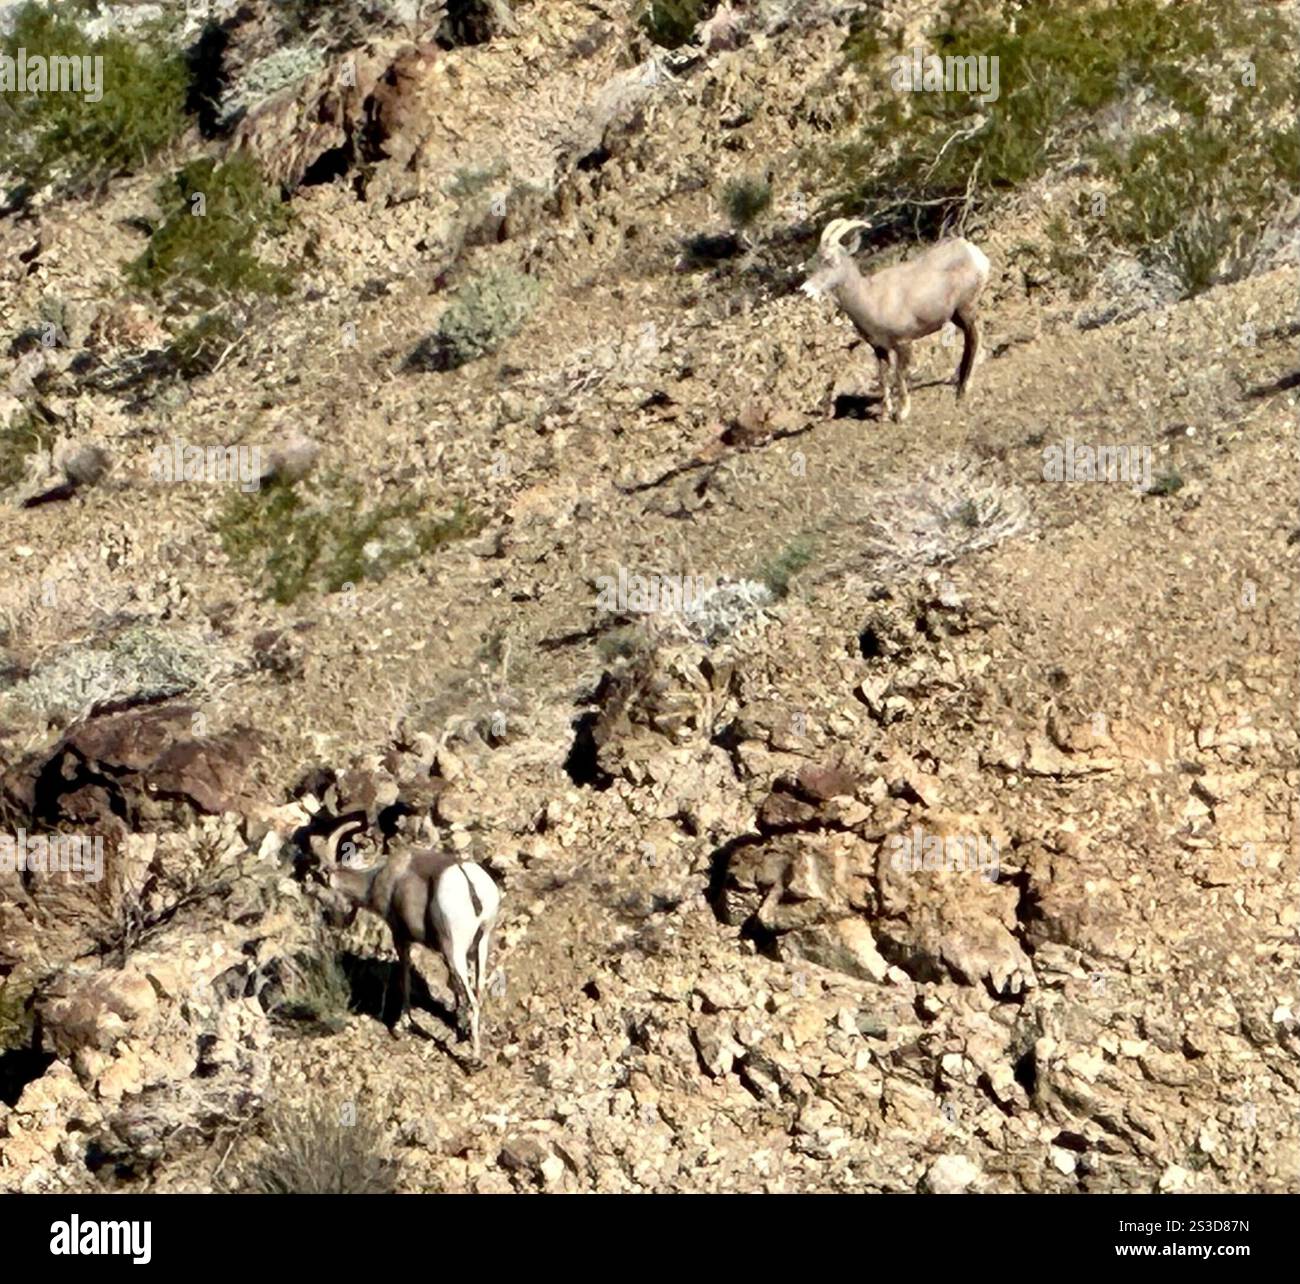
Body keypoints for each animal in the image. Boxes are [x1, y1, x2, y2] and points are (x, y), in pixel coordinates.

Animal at [309, 818, 501, 1060]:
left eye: (322, 891)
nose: (334, 923)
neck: (381, 878)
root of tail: (469, 883)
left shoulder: (401, 937)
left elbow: (405, 977)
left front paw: (401, 1024)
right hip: (481, 945)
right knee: (478, 991)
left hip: (455, 950)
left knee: (473, 1001)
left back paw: (475, 1056)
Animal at [801, 218, 991, 422]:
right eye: (814, 261)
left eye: (829, 260)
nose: (806, 290)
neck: (872, 299)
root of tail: (971, 252)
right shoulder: (880, 349)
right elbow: (884, 376)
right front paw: (885, 413)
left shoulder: (903, 344)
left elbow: (900, 375)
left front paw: (902, 413)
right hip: (956, 316)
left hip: (965, 310)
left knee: (973, 339)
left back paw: (963, 388)